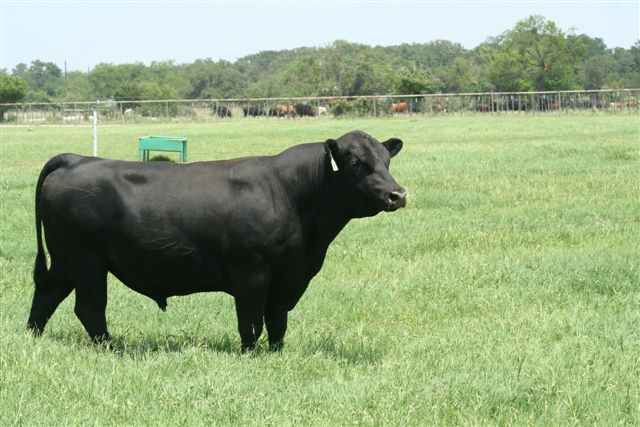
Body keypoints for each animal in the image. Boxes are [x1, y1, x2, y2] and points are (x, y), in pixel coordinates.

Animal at [27, 130, 407, 353]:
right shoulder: (251, 271)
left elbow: (277, 321)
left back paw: (33, 337)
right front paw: (250, 353)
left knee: (47, 294)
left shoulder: (288, 276)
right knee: (89, 307)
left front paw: (277, 353)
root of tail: (75, 159)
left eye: (387, 160)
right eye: (355, 161)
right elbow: (251, 319)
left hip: (66, 260)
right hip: (85, 259)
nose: (397, 194)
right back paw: (111, 347)